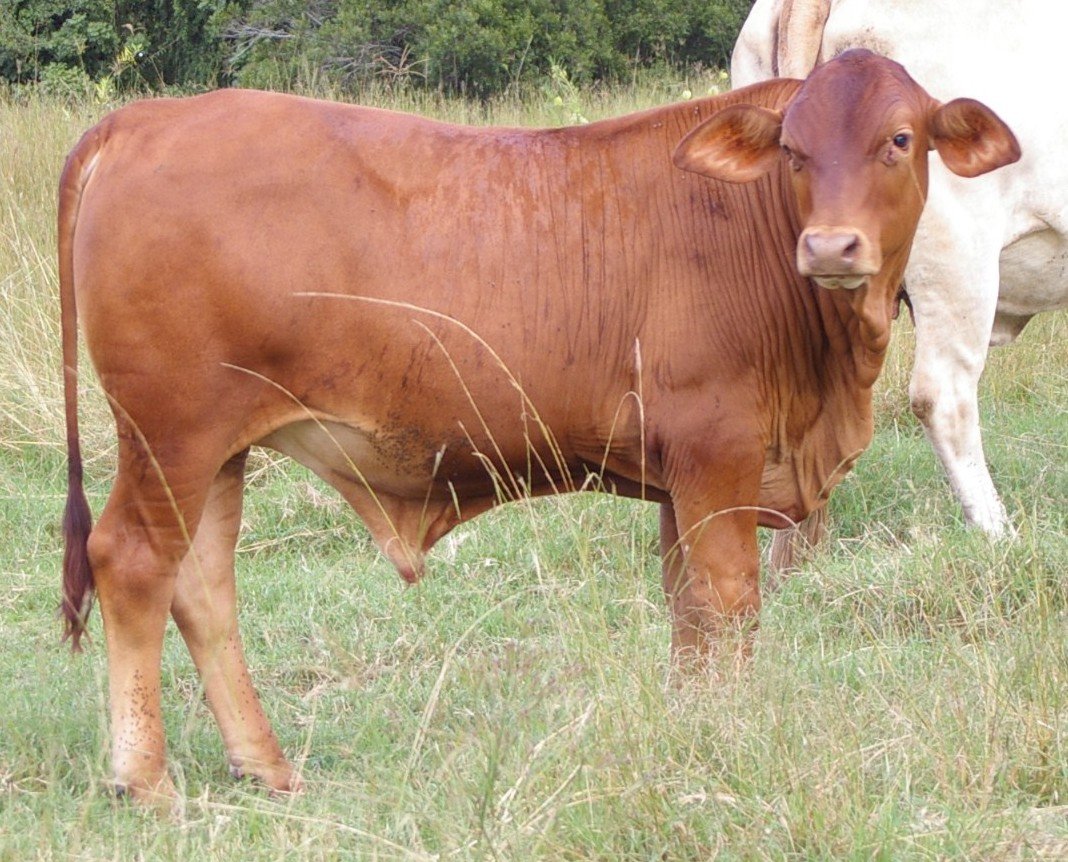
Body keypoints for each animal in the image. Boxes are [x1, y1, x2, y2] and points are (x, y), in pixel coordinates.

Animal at [58, 50, 1017, 803]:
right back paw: (146, 780)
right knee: (134, 565)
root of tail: (149, 118)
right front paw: (733, 736)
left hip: (218, 450)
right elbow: (730, 604)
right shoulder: (718, 460)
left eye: (900, 139)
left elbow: (687, 614)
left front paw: (692, 727)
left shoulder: (680, 480)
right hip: (171, 435)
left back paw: (266, 767)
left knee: (202, 586)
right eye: (792, 148)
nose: (830, 247)